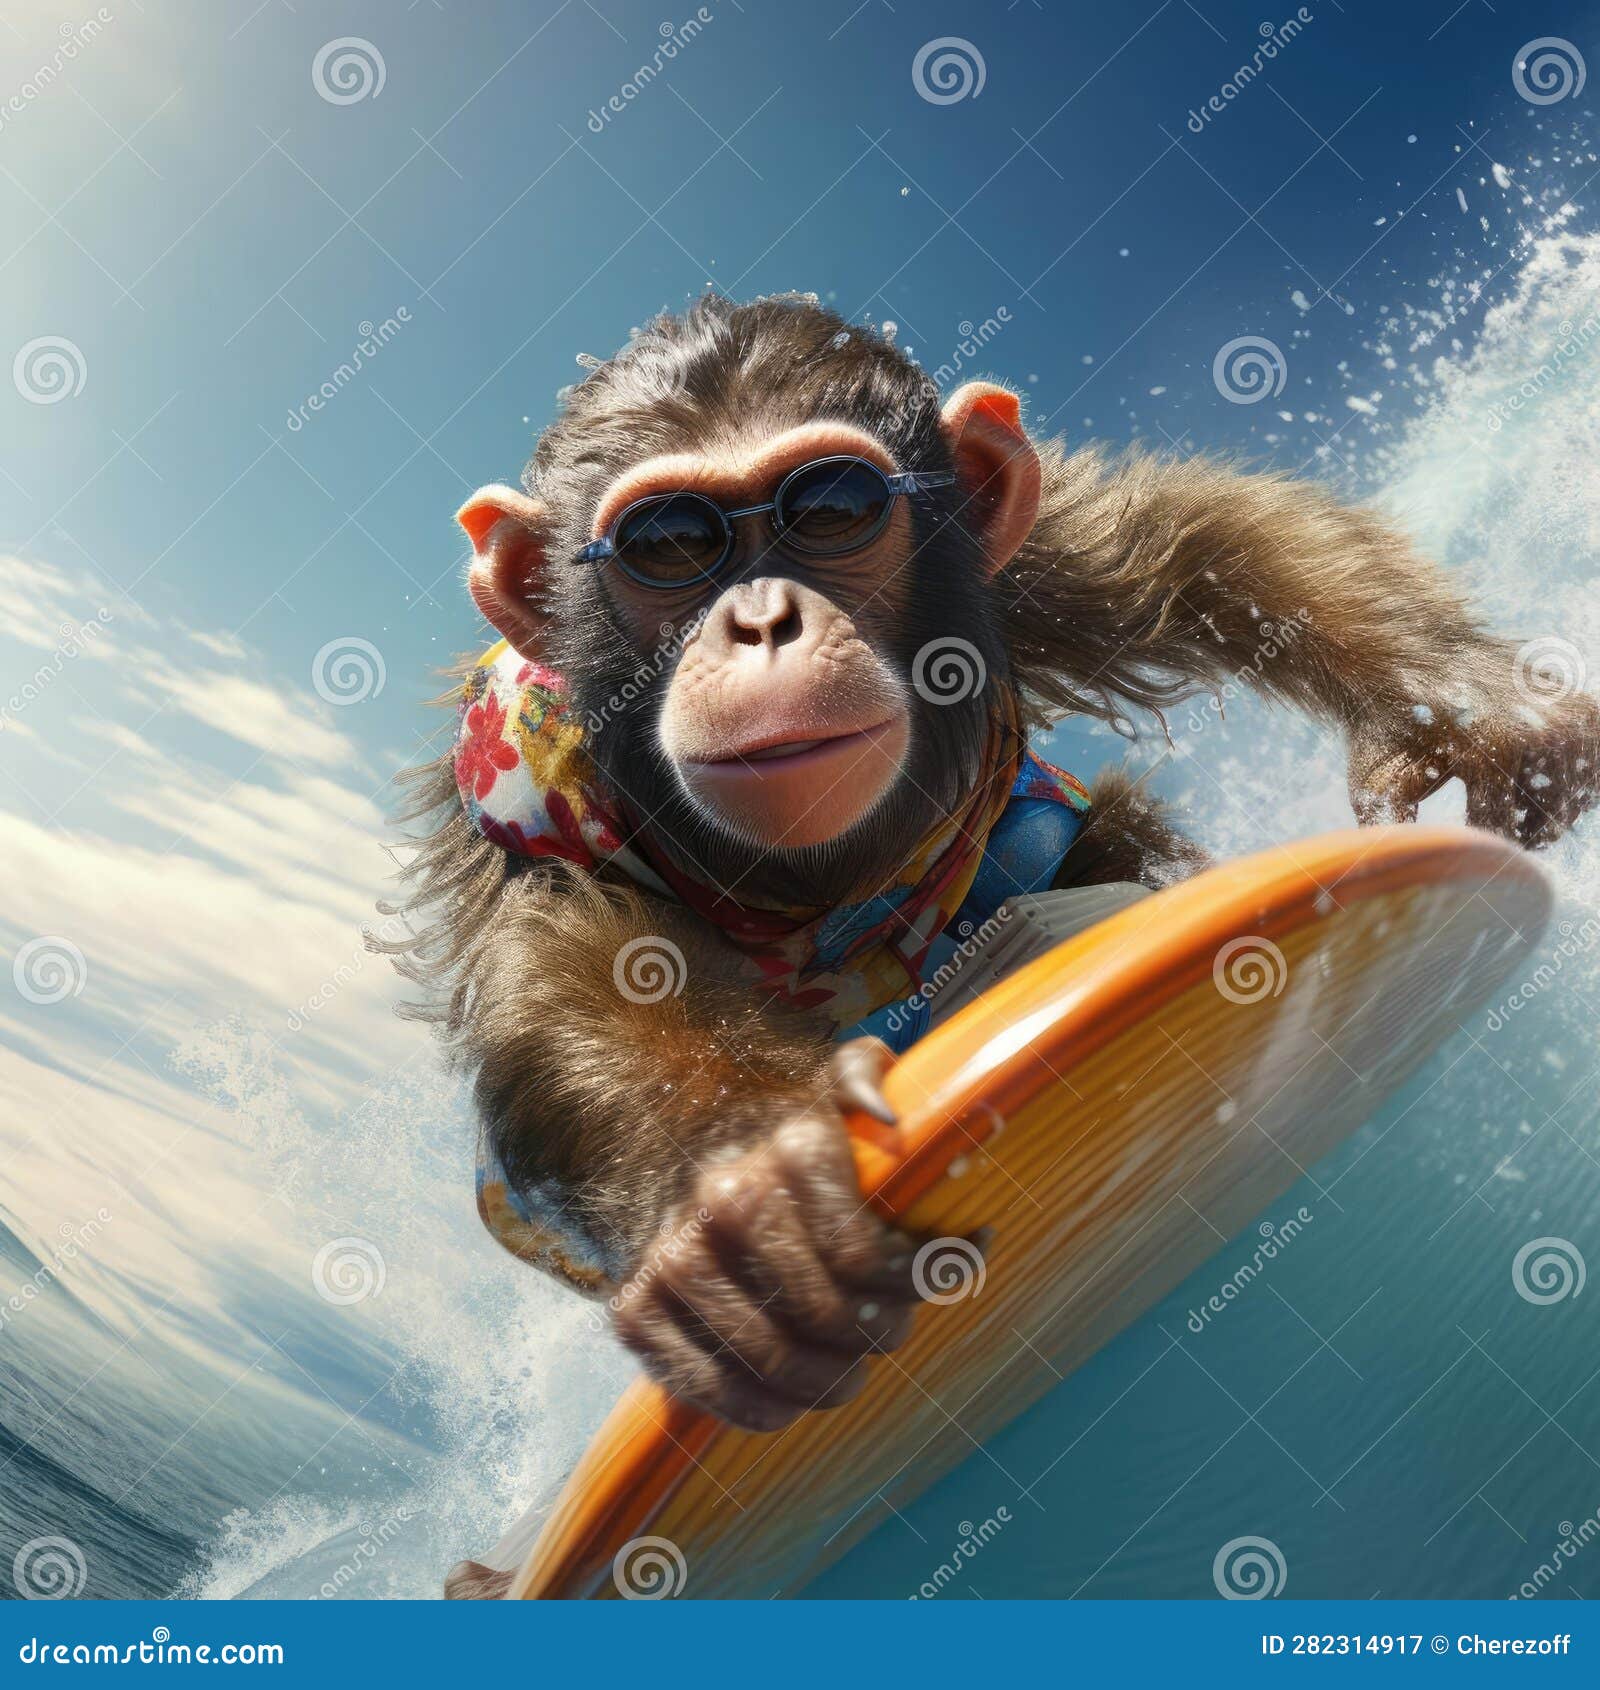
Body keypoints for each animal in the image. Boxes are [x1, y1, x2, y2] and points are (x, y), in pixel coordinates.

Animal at [383, 293, 1598, 1496]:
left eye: (834, 510)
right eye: (667, 545)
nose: (763, 616)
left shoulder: (1027, 566)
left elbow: (1195, 549)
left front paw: (1467, 705)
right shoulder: (519, 782)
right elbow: (574, 974)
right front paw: (739, 1182)